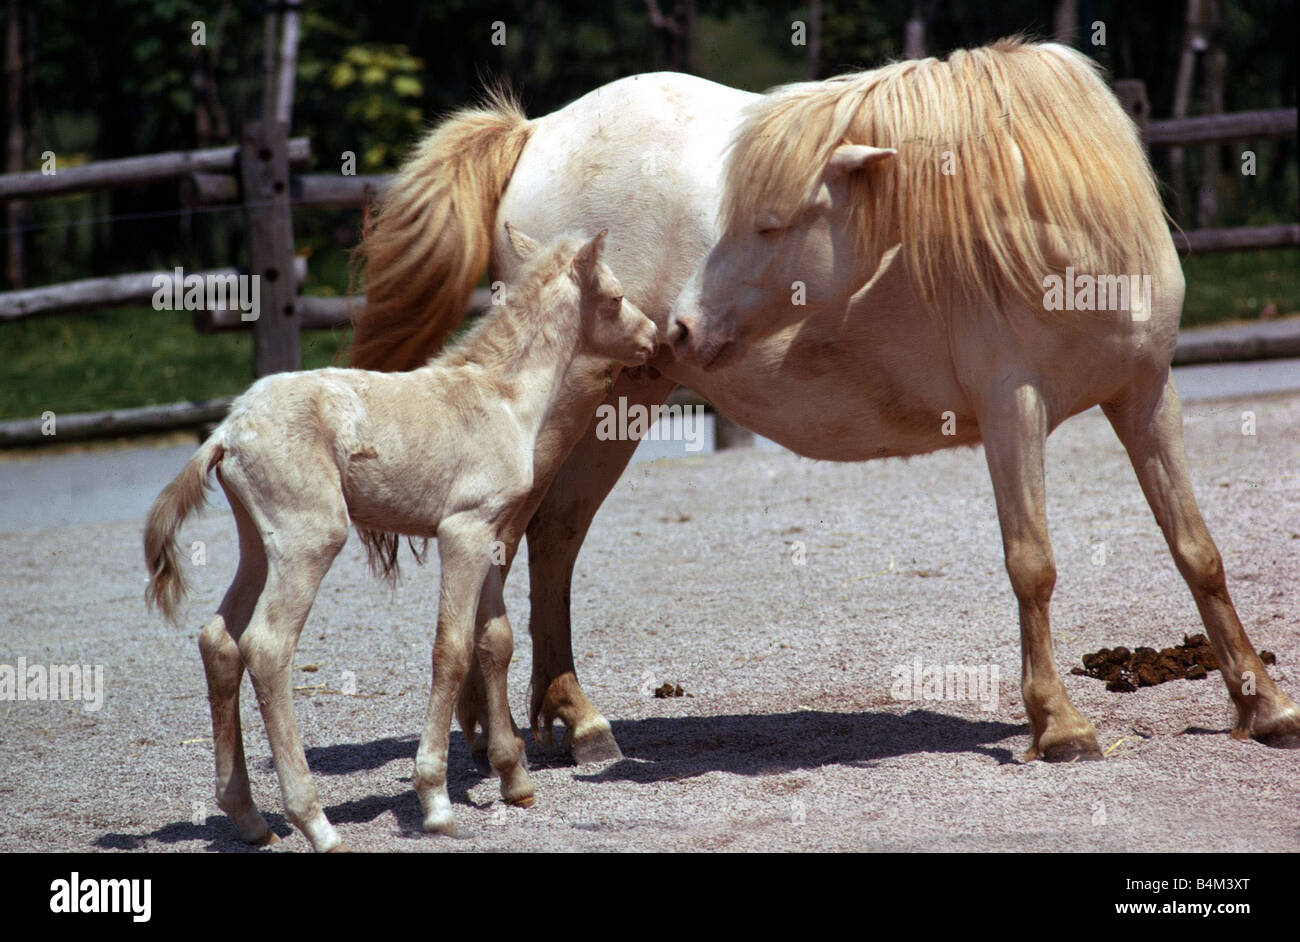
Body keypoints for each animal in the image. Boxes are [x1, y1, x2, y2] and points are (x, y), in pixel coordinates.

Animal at [144, 228, 658, 851]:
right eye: (614, 296)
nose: (653, 337)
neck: (502, 397)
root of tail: (227, 430)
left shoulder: (491, 533)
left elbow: (495, 639)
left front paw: (513, 777)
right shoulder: (462, 531)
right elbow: (452, 648)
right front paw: (435, 799)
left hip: (256, 541)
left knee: (219, 640)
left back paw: (248, 818)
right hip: (311, 537)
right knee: (265, 647)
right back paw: (316, 823)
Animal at [350, 39, 1300, 763]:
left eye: (769, 223)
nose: (682, 327)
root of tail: (535, 131)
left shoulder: (1147, 394)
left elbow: (1197, 550)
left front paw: (1264, 705)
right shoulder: (1013, 409)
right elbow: (1032, 562)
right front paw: (1059, 725)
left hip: (619, 408)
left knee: (552, 540)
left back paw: (561, 723)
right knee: (506, 546)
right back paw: (507, 734)